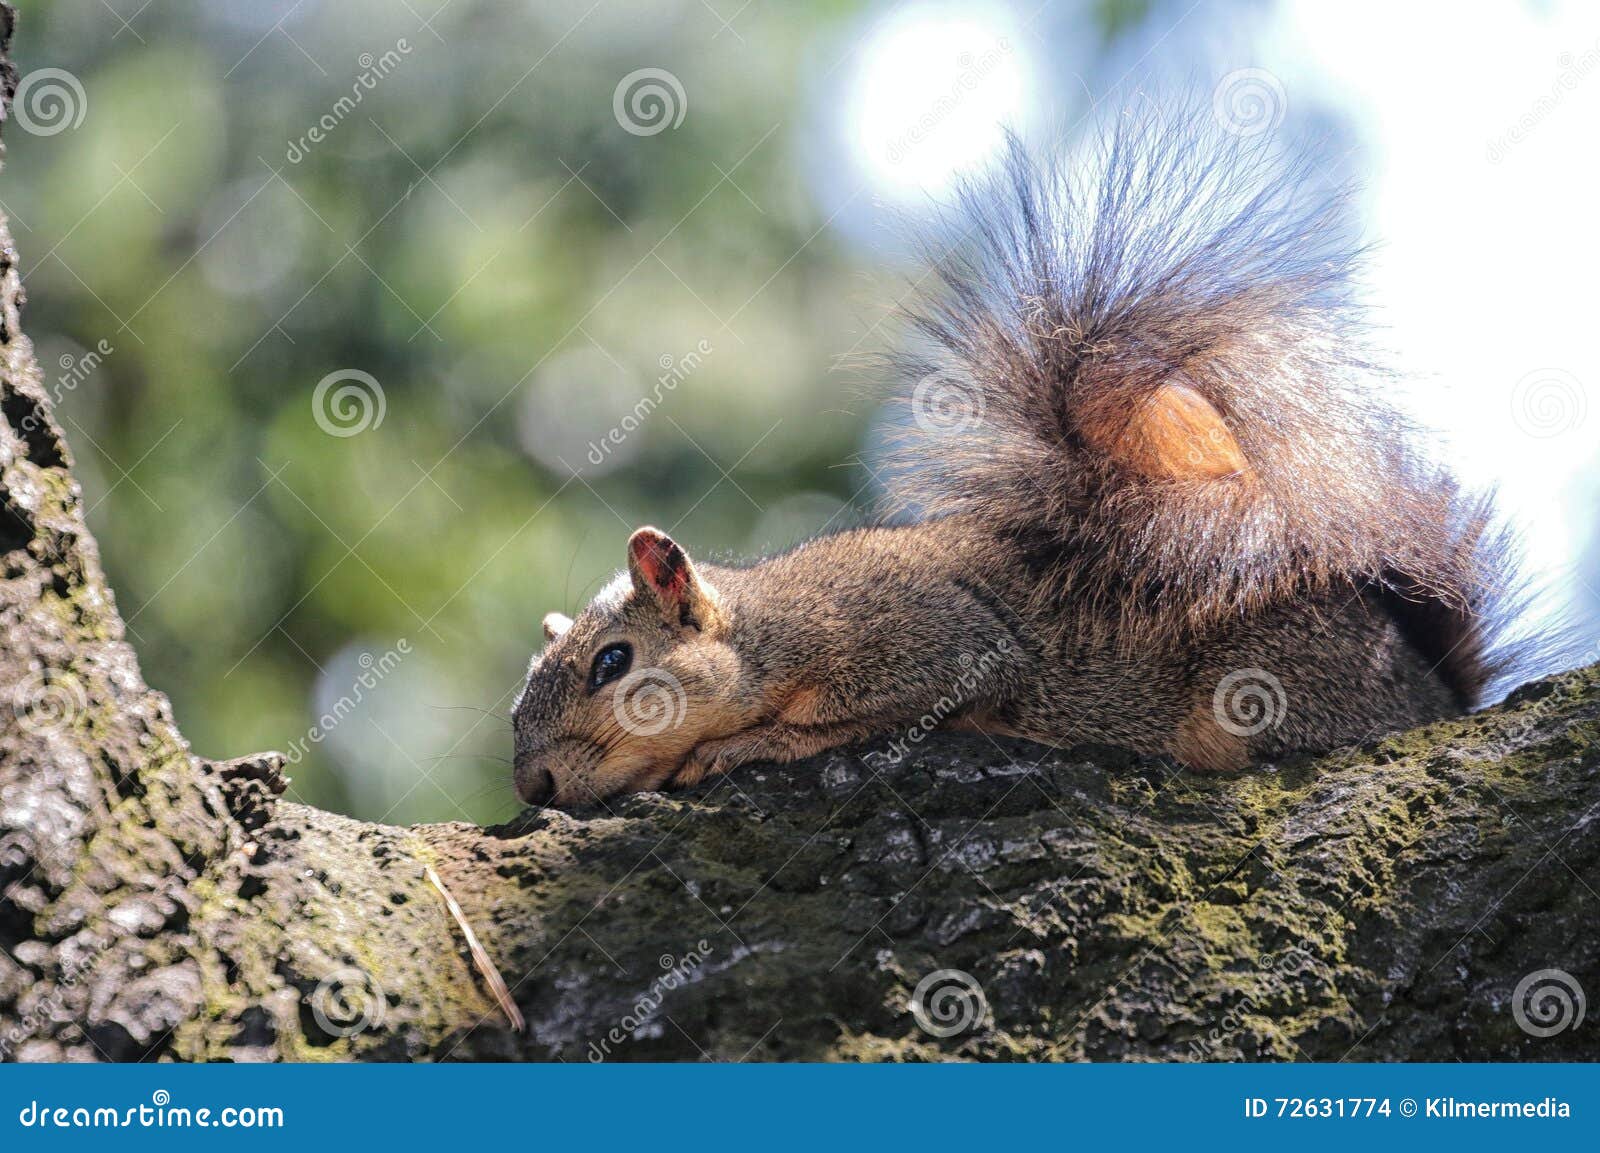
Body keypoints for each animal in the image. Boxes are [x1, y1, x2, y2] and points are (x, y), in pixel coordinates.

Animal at [511, 109, 1516, 809]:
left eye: (612, 663)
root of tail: (1431, 692)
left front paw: (739, 746)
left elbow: (879, 708)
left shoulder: (916, 637)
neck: (772, 626)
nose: (532, 787)